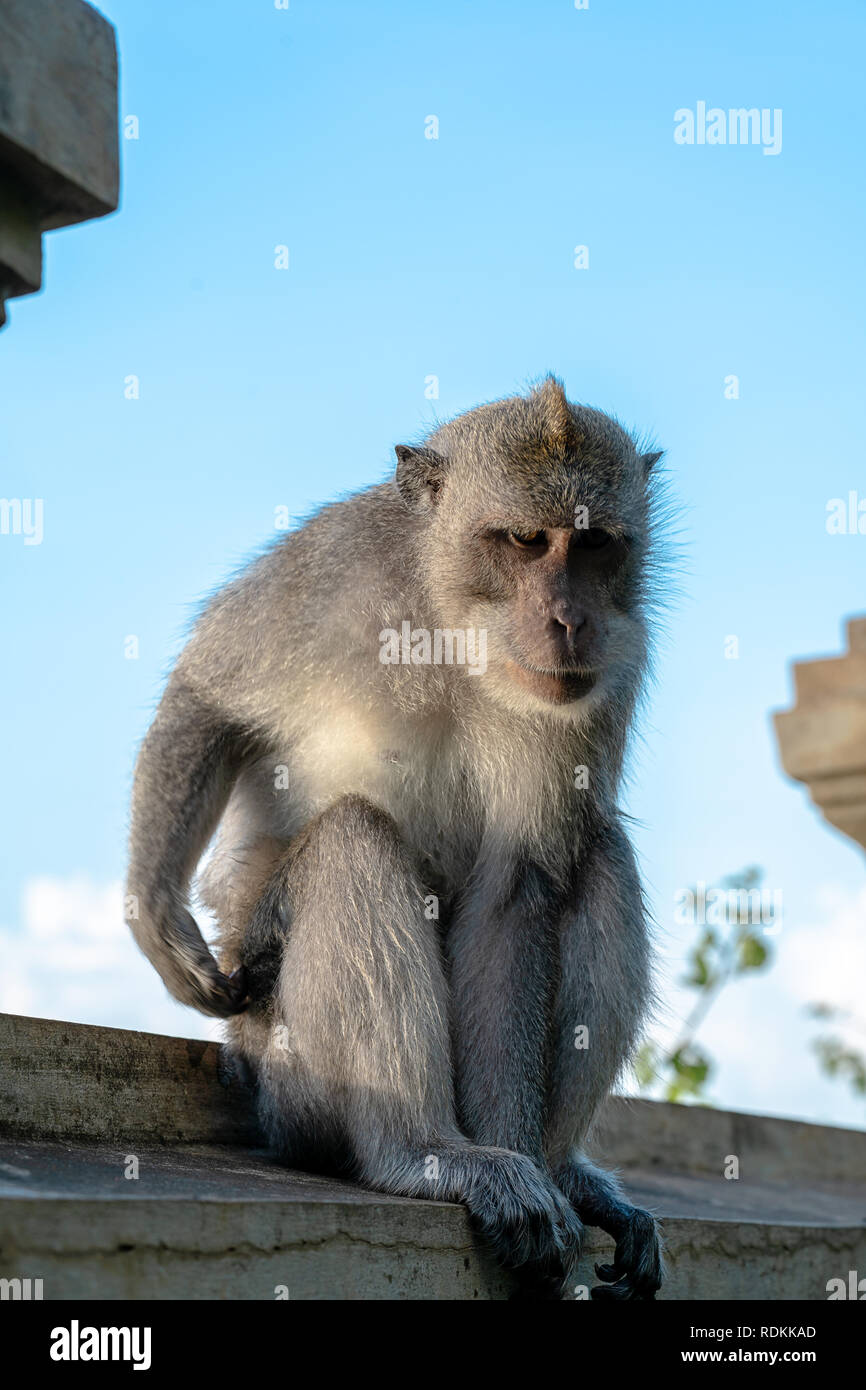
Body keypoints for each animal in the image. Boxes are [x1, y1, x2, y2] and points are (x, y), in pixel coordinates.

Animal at [125, 376, 665, 1299]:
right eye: (526, 540)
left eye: (596, 545)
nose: (569, 620)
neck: (452, 623)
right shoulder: (330, 569)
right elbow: (211, 695)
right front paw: (158, 918)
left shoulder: (608, 670)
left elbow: (519, 890)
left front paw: (530, 1178)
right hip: (286, 1075)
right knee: (353, 839)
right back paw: (423, 1154)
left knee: (598, 855)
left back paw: (555, 1172)